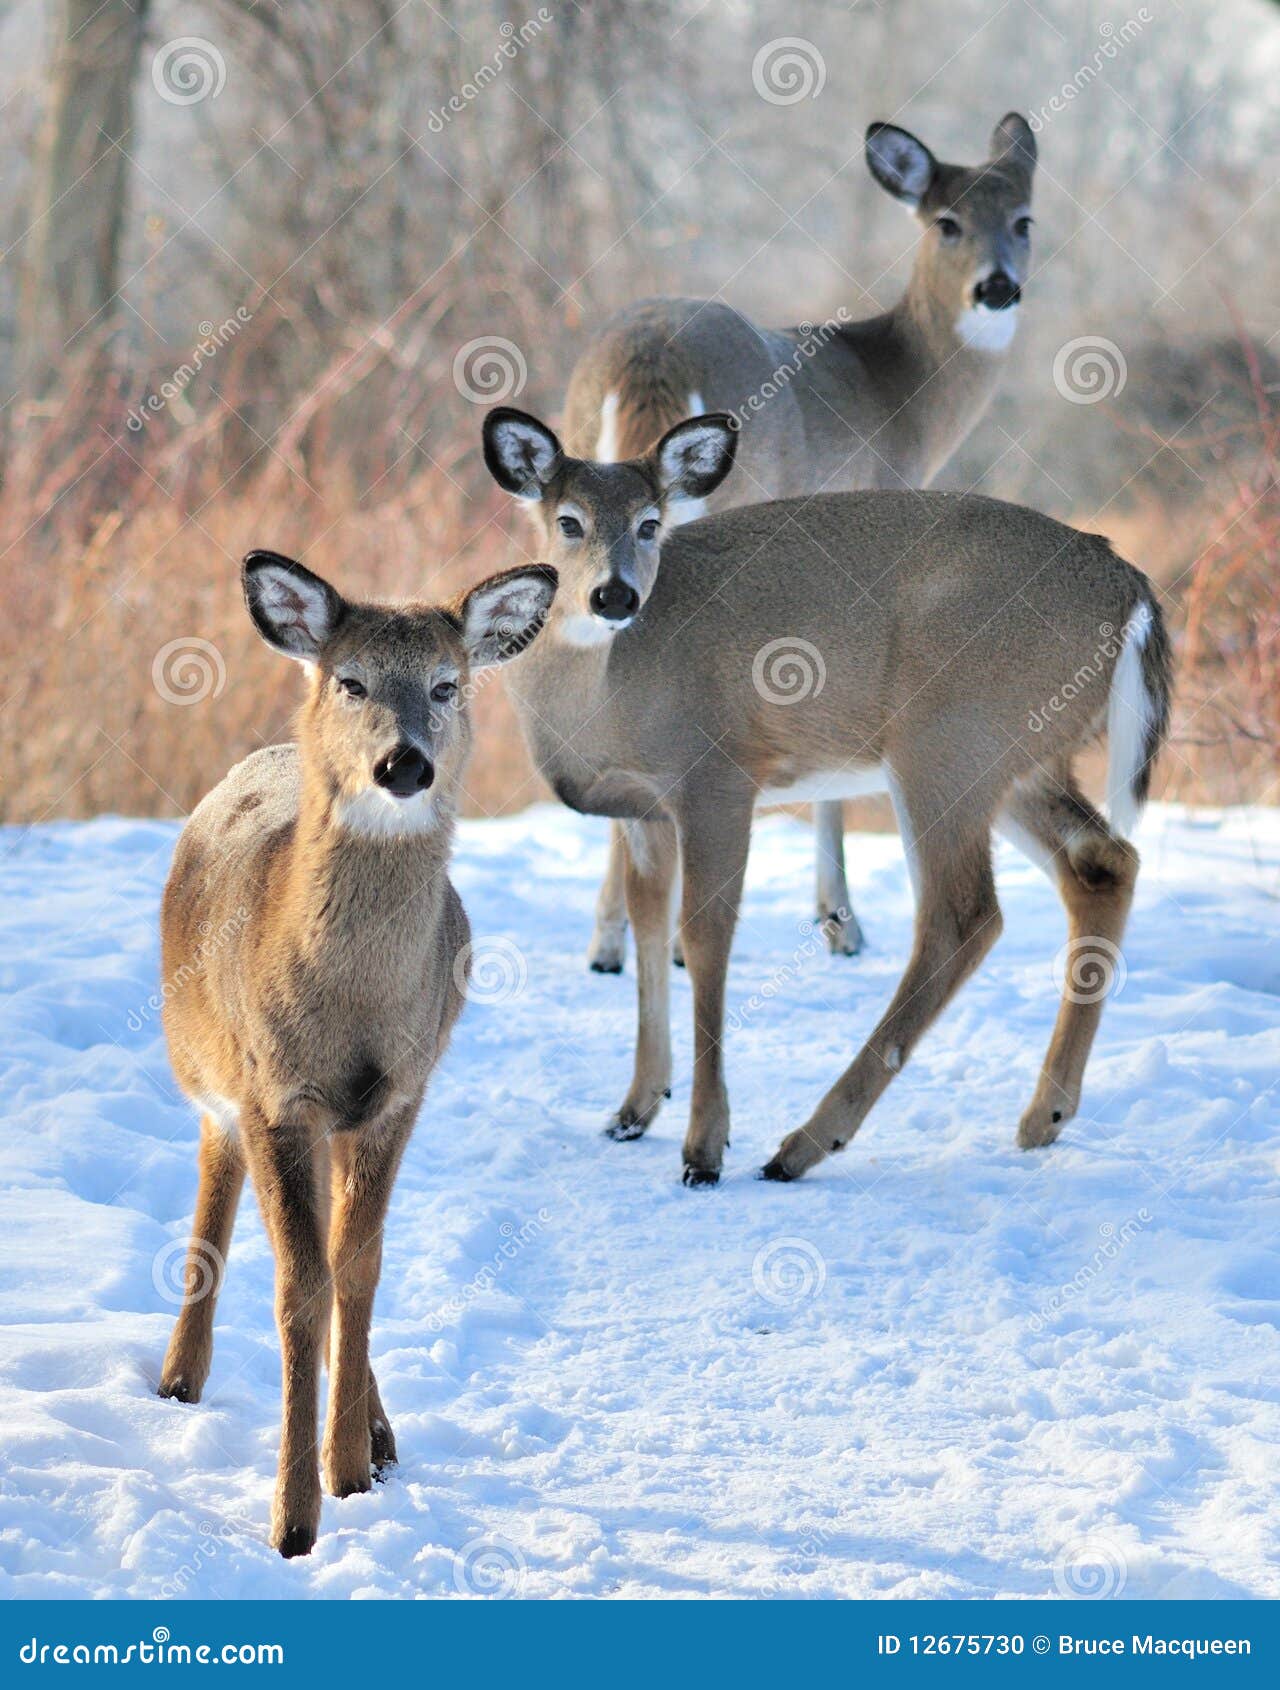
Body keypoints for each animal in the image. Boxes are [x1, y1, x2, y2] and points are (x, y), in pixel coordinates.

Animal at [156, 548, 556, 1557]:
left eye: (447, 683)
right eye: (351, 681)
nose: (403, 762)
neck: (352, 1007)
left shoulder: (397, 1095)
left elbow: (359, 1270)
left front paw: (348, 1470)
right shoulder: (277, 1095)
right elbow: (301, 1284)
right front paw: (293, 1519)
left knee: (338, 1247)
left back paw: (378, 1433)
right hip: (209, 1072)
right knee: (218, 1186)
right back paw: (180, 1378)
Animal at [482, 406, 1171, 1189]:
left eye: (650, 522)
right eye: (568, 520)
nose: (615, 595)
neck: (600, 698)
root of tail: (1131, 587)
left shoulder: (718, 775)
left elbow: (705, 937)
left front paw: (704, 1147)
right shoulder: (643, 810)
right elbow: (649, 927)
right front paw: (633, 1109)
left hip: (947, 738)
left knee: (963, 916)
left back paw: (804, 1143)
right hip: (1023, 760)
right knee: (1103, 864)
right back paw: (1042, 1118)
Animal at [562, 112, 1038, 972]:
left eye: (1024, 220)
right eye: (947, 222)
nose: (997, 287)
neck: (903, 394)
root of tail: (649, 357)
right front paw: (841, 921)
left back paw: (610, 941)